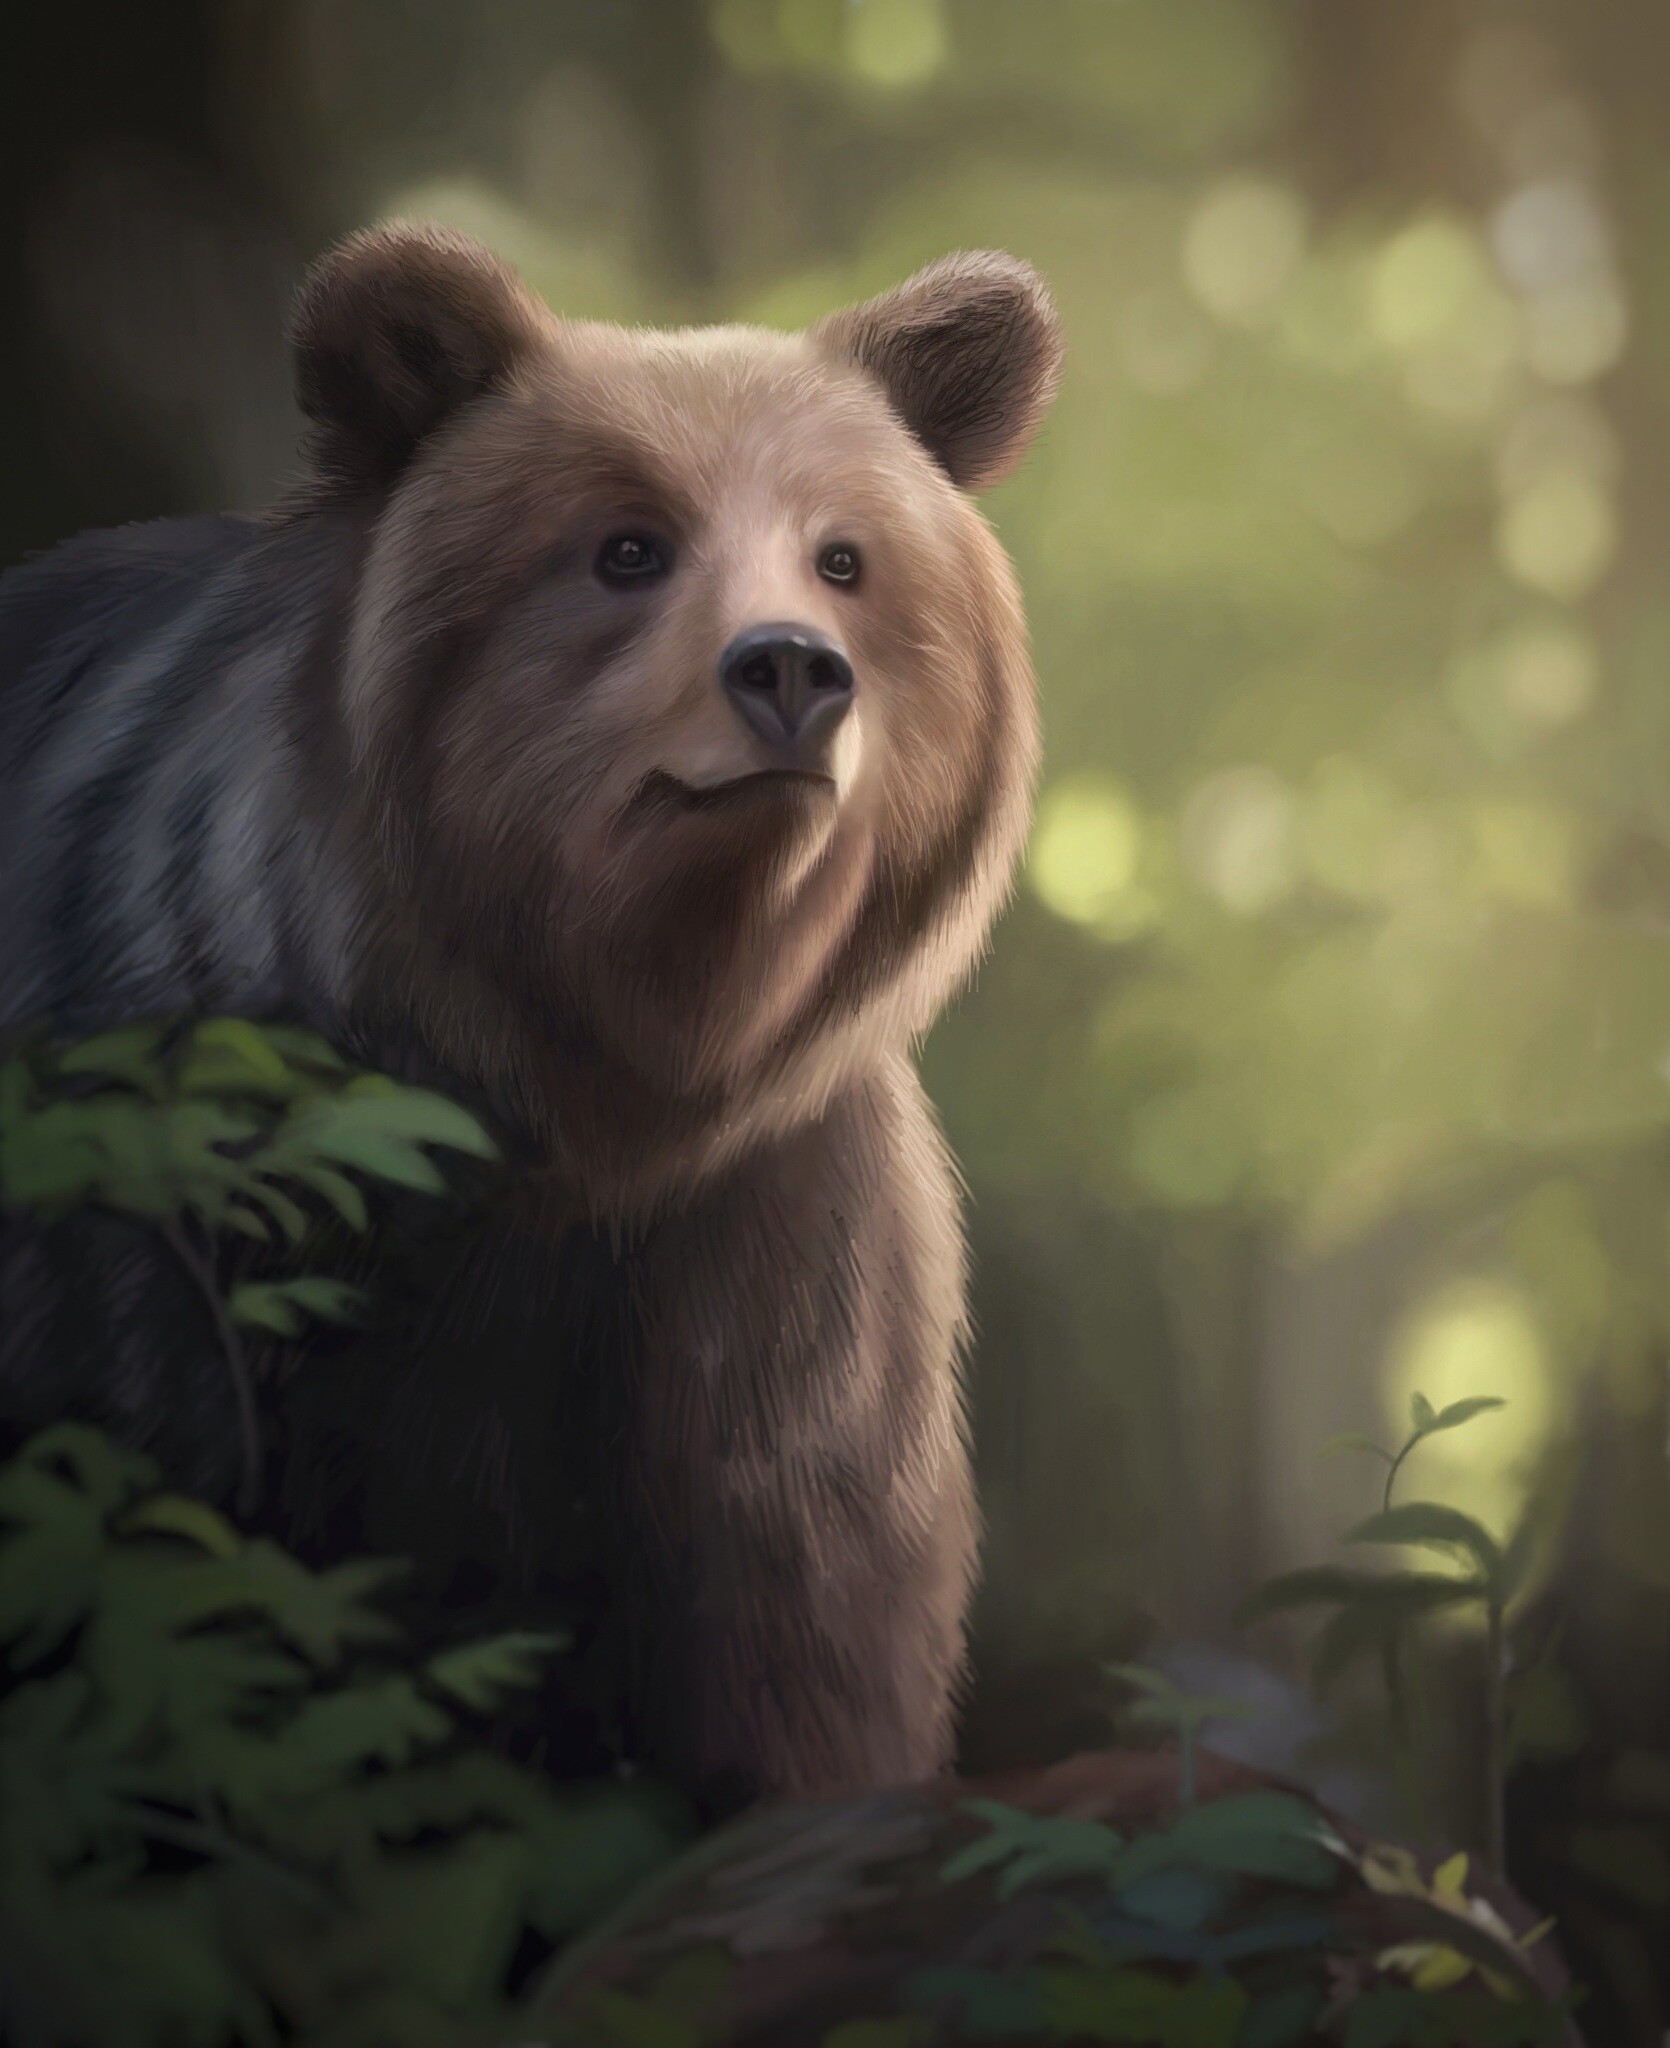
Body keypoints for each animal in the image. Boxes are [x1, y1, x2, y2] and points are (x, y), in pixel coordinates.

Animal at [0, 224, 1062, 1807]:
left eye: (844, 555)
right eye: (627, 546)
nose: (789, 670)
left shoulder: (752, 1266)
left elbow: (790, 1637)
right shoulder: (161, 1207)